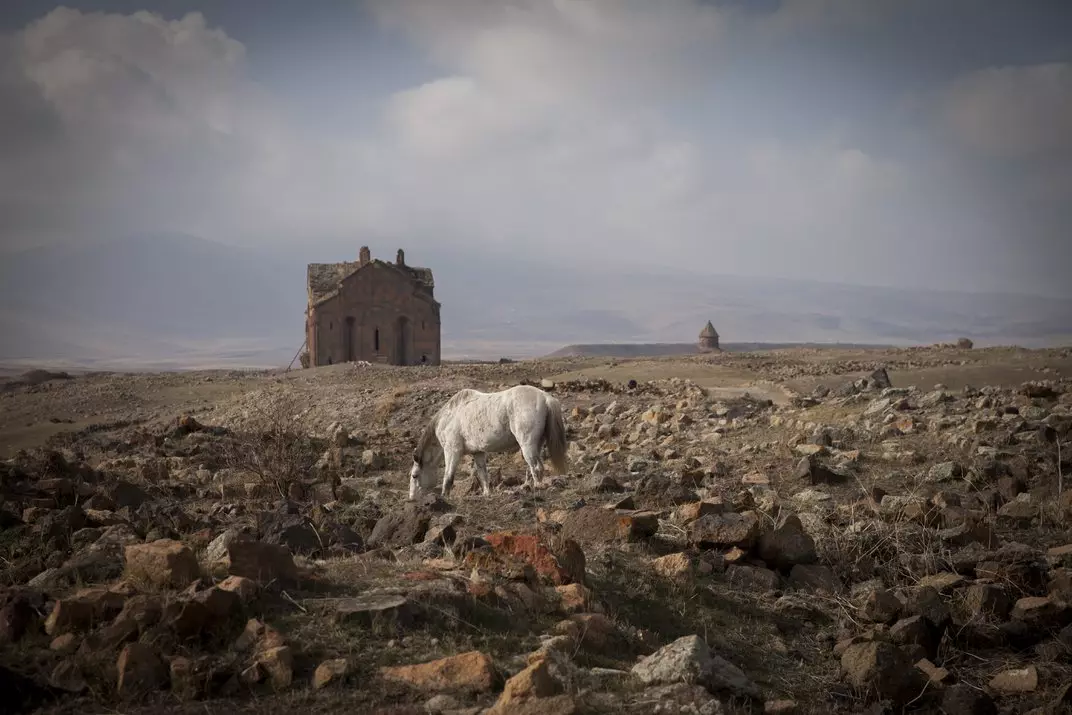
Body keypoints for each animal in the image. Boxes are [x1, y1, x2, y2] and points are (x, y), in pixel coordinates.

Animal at [407, 385, 570, 497]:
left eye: (415, 475)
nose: (412, 498)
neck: (448, 417)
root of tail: (545, 398)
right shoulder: (478, 453)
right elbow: (483, 474)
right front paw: (487, 494)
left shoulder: (452, 451)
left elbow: (448, 477)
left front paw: (444, 497)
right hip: (537, 444)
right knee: (535, 467)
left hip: (527, 445)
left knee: (536, 467)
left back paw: (537, 487)